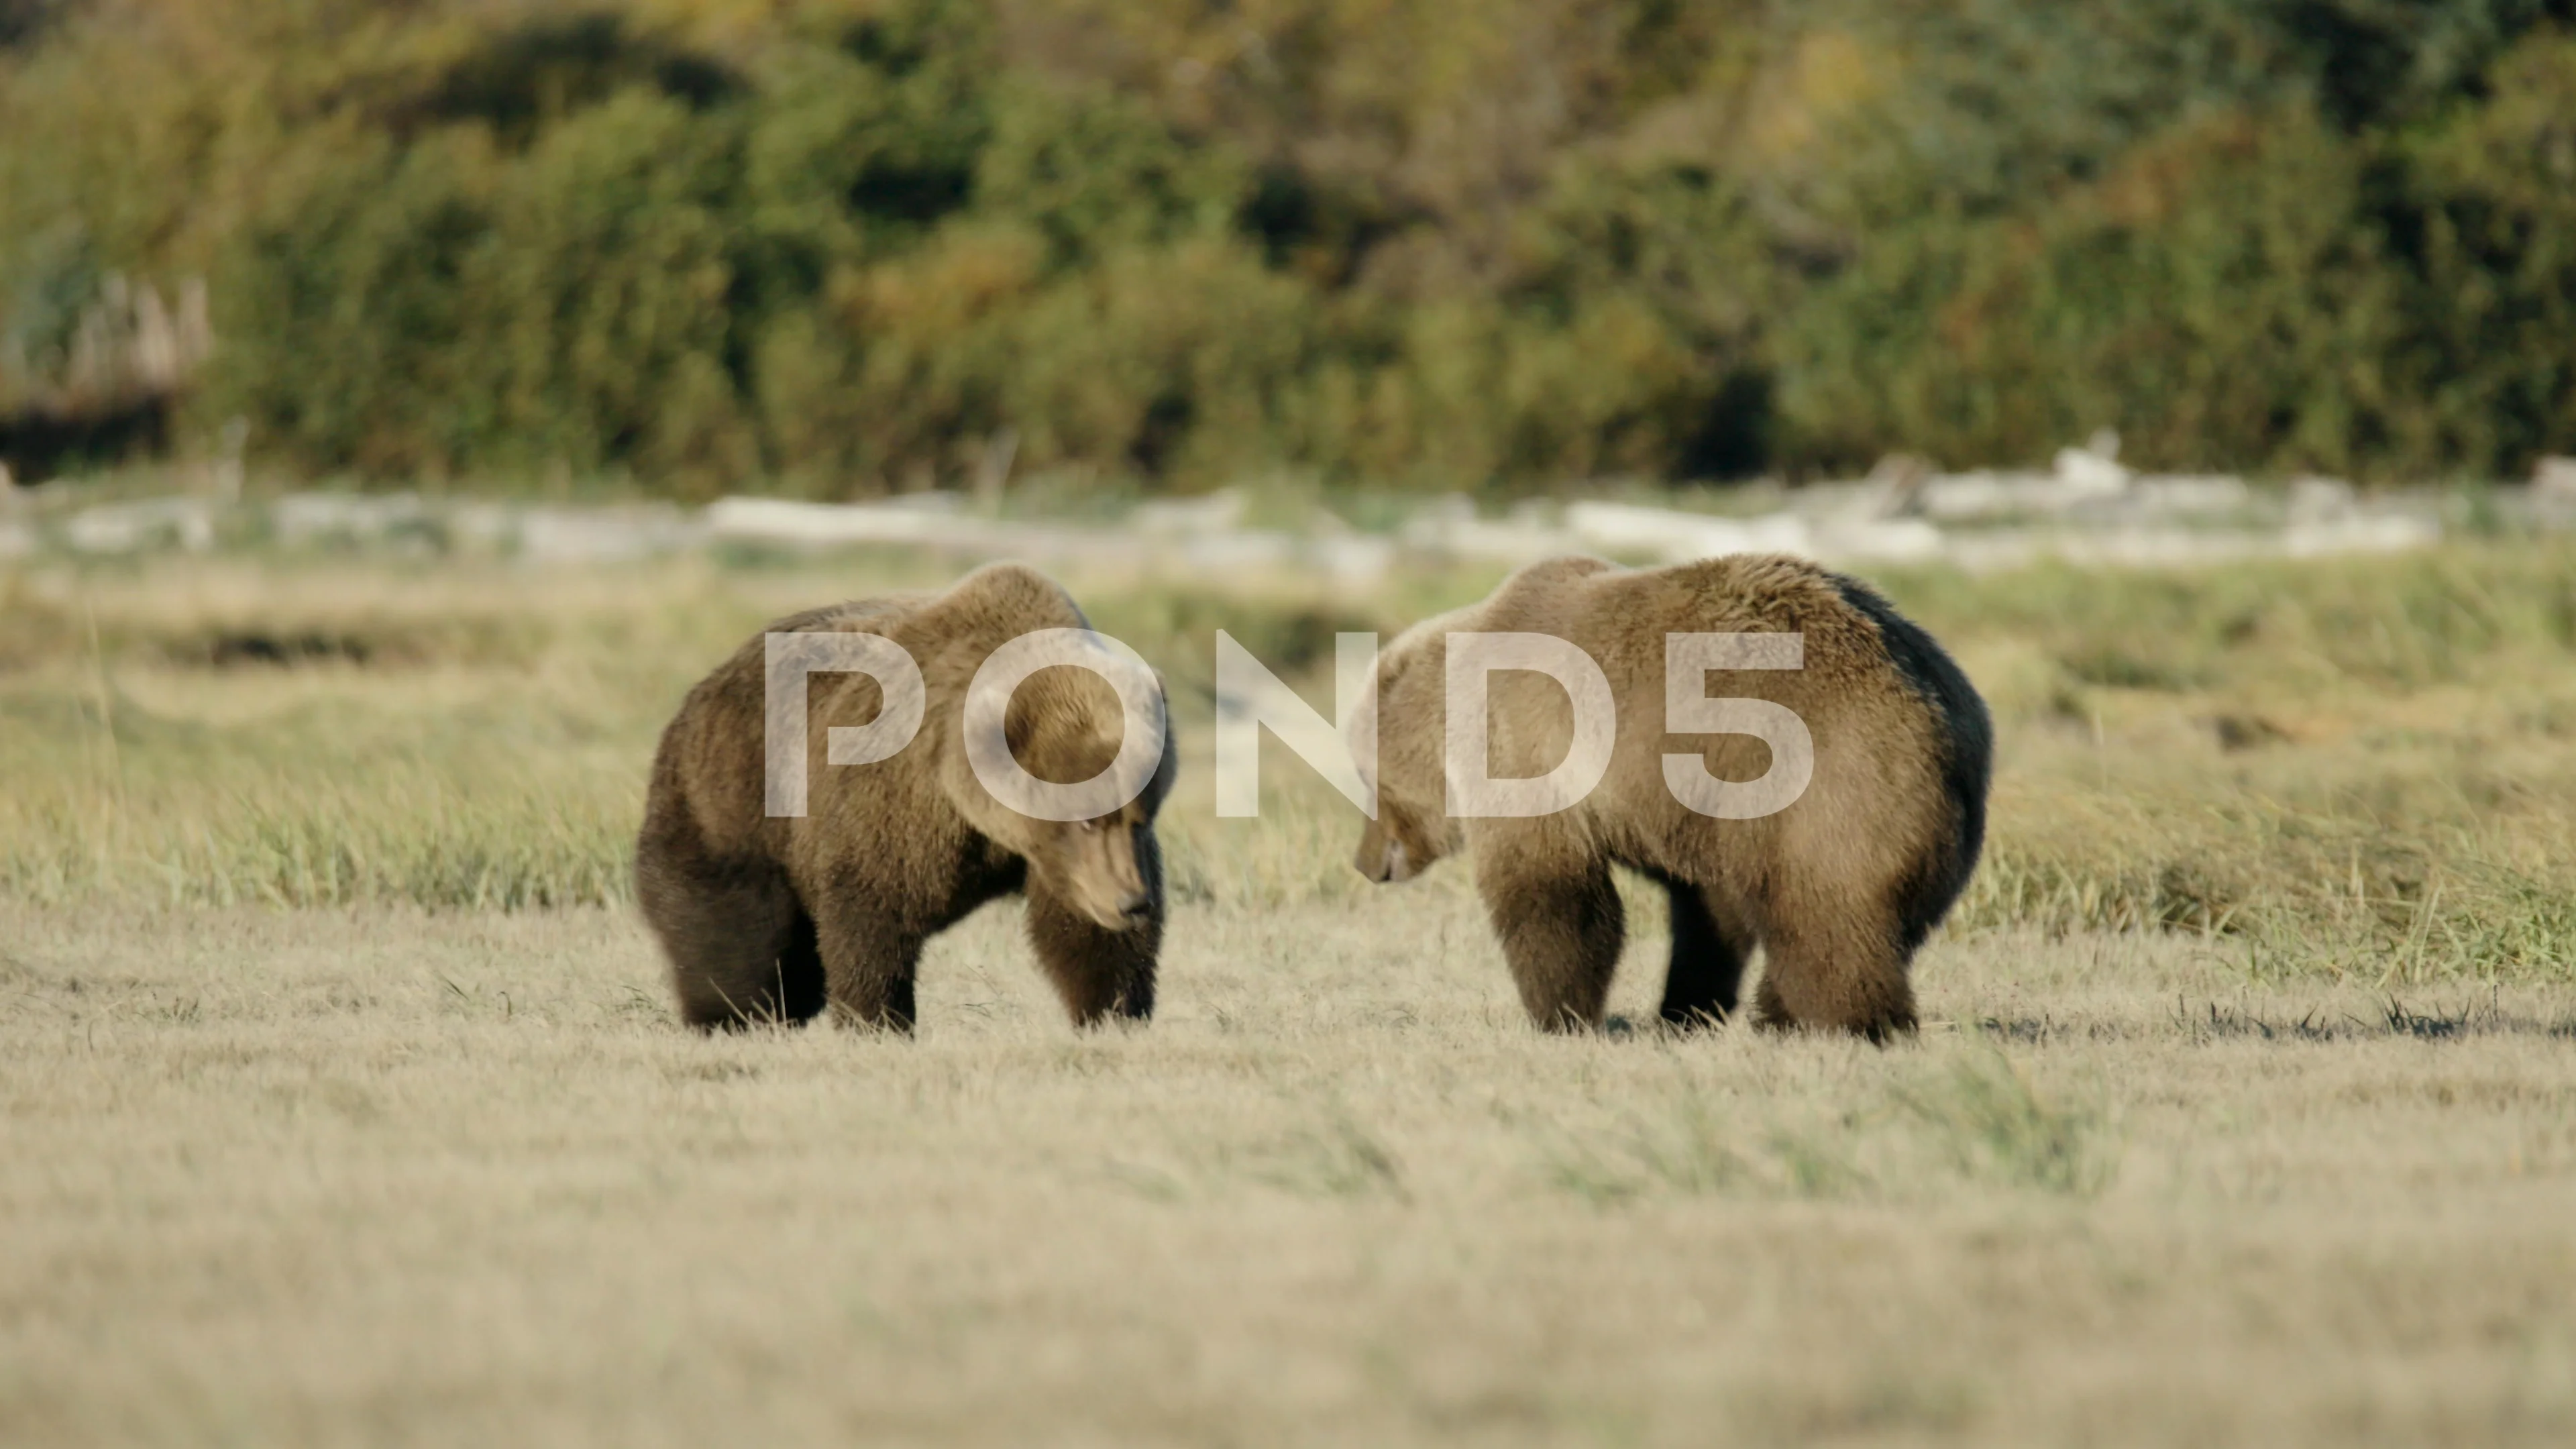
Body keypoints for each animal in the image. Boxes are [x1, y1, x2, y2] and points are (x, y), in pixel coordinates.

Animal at [636, 562, 1177, 1032]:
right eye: (1086, 820)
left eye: (1140, 816)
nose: (1132, 903)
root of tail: (706, 685)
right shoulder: (898, 800)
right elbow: (873, 915)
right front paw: (878, 1020)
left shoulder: (1060, 862)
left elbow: (1084, 932)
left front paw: (1113, 1011)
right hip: (737, 795)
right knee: (731, 927)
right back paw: (731, 1013)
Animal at [1350, 553, 1990, 1041]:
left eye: (1362, 778)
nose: (1364, 862)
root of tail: (1943, 707)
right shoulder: (1687, 810)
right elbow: (1708, 912)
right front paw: (1684, 1009)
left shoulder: (1530, 753)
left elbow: (1551, 895)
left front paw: (1561, 1015)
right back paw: (1780, 1014)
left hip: (1831, 784)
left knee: (1828, 917)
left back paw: (1855, 1022)